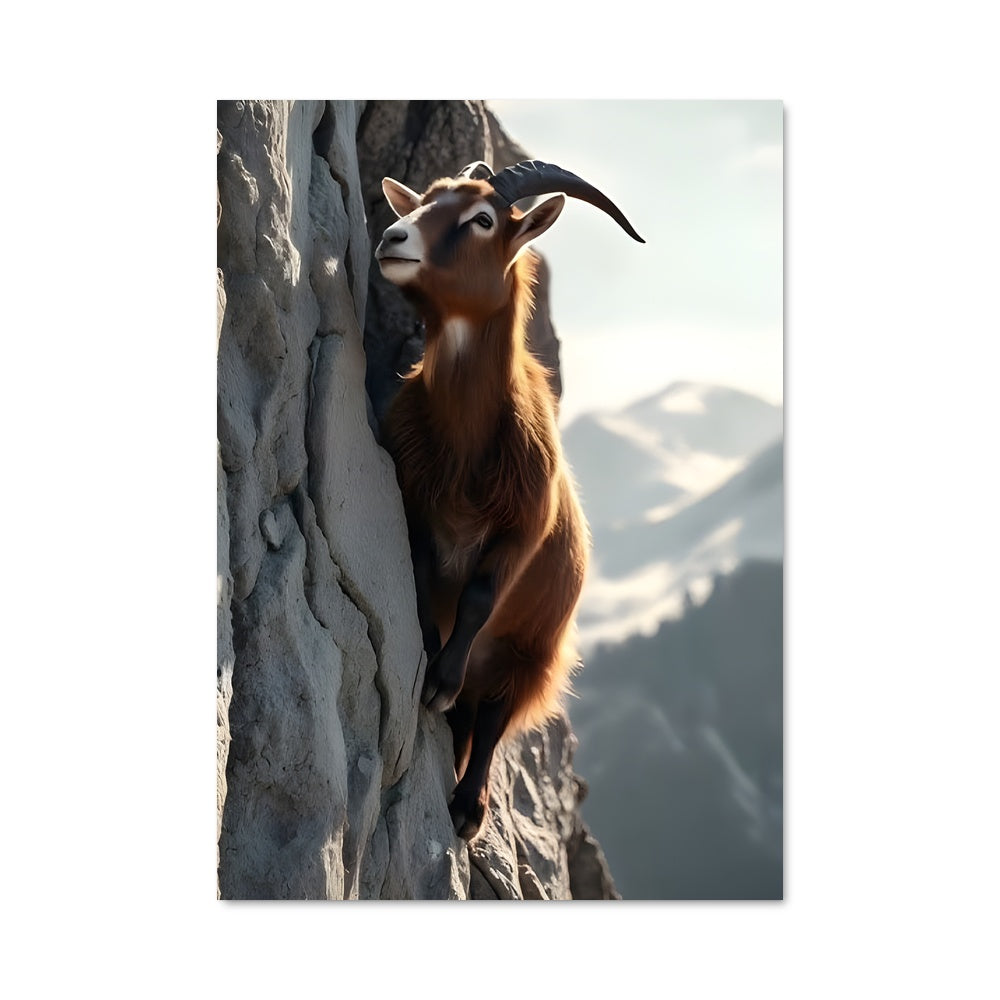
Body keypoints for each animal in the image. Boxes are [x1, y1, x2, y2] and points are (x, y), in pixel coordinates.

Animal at [375, 159, 643, 840]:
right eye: (425, 200)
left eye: (482, 219)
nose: (392, 238)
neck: (467, 445)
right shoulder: (414, 500)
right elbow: (421, 572)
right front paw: (427, 646)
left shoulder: (524, 529)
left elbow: (477, 595)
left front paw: (440, 680)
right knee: (472, 724)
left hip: (528, 656)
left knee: (493, 721)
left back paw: (468, 808)